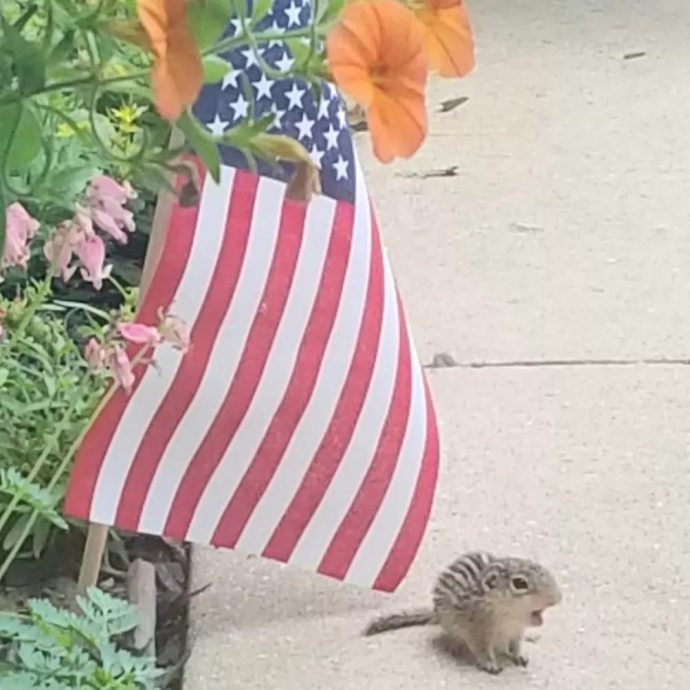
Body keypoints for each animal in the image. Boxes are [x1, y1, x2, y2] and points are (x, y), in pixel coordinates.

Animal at [363, 551, 562, 675]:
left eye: (544, 571)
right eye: (520, 583)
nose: (556, 599)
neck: (509, 617)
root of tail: (435, 613)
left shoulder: (517, 631)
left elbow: (515, 645)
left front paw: (520, 655)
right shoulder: (477, 630)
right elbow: (482, 649)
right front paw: (490, 664)